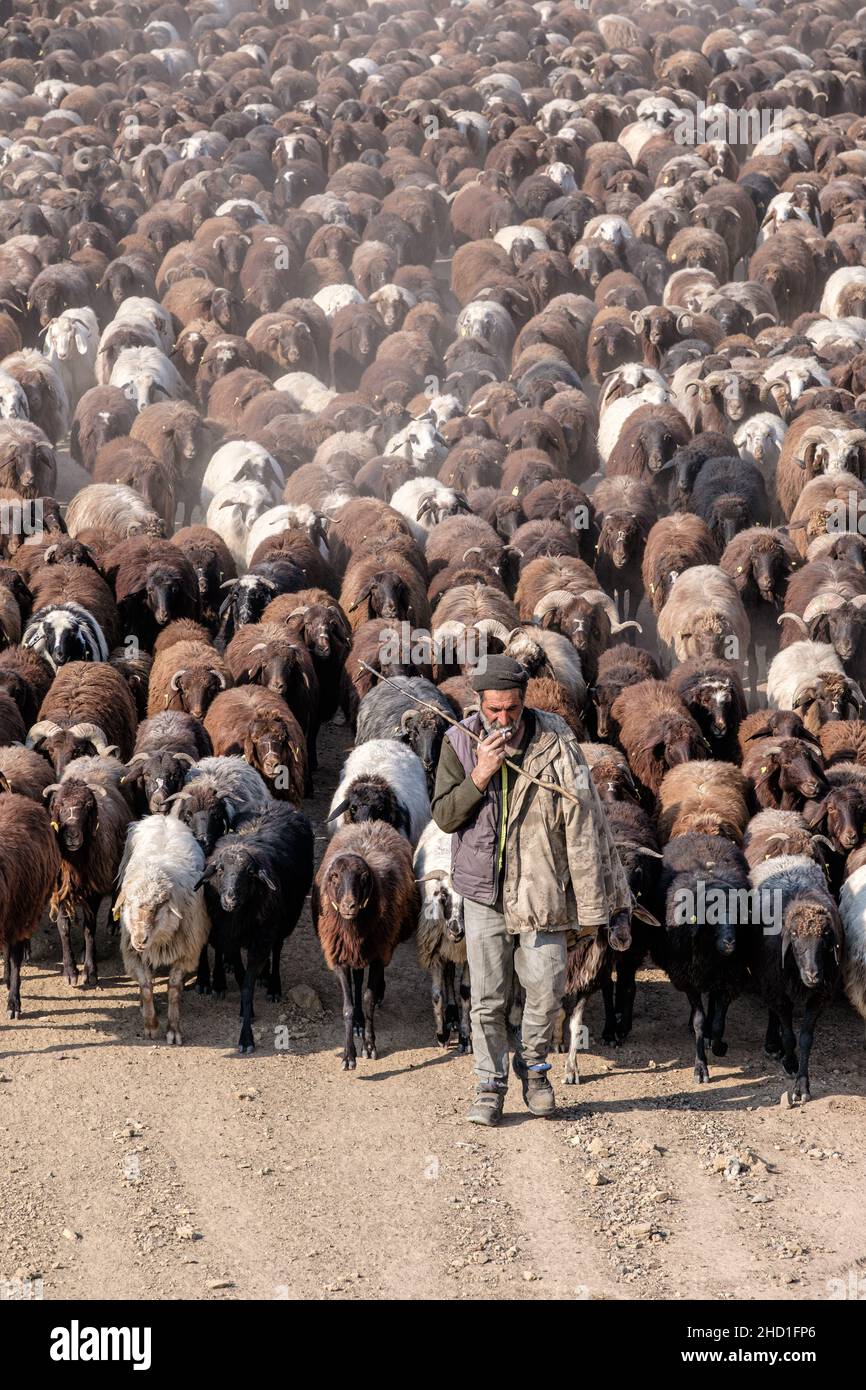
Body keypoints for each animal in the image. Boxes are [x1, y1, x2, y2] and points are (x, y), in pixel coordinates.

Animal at [46, 757, 133, 987]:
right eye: (59, 805)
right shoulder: (60, 890)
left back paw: (111, 926)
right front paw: (70, 970)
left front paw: (90, 971)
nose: (72, 836)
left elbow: (89, 930)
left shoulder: (93, 891)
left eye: (88, 806)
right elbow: (64, 929)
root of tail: (94, 758)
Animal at [116, 815, 211, 1045]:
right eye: (129, 903)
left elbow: (173, 989)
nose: (140, 939)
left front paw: (173, 1029)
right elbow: (146, 986)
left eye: (159, 906)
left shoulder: (186, 952)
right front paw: (151, 1025)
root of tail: (162, 817)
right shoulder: (133, 954)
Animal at [195, 803, 313, 1049]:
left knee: (277, 949)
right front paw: (244, 1009)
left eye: (249, 873)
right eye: (220, 869)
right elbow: (242, 979)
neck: (239, 915)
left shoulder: (261, 938)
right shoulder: (229, 938)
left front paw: (246, 1035)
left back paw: (273, 984)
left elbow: (248, 985)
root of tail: (276, 804)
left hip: (286, 919)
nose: (230, 899)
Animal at [312, 820, 419, 1068]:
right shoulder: (339, 957)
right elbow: (348, 1007)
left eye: (363, 877)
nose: (349, 905)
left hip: (382, 944)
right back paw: (359, 1023)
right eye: (334, 876)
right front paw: (348, 1054)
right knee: (358, 979)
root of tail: (369, 822)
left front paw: (369, 1046)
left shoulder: (379, 953)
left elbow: (368, 999)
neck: (352, 928)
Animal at [748, 854, 842, 1102]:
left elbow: (806, 1038)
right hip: (769, 980)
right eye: (793, 935)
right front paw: (789, 1062)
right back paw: (773, 1044)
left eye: (826, 936)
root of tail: (786, 857)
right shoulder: (777, 988)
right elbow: (789, 1036)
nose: (813, 975)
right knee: (772, 1012)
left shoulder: (820, 996)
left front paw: (802, 1084)